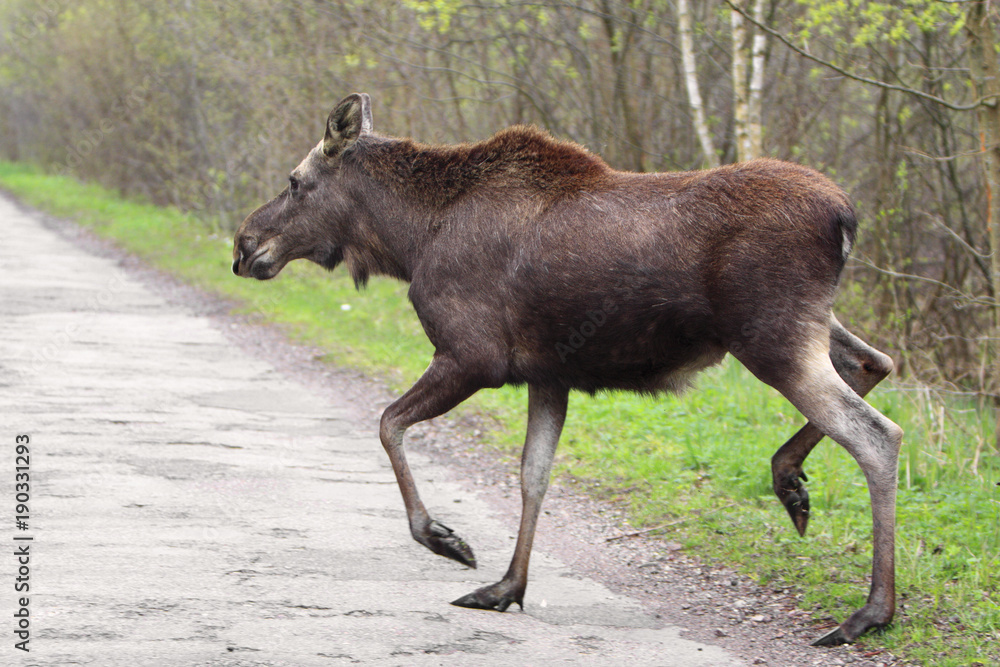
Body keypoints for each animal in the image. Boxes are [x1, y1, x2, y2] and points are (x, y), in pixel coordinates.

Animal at [232, 93, 901, 646]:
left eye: (296, 182)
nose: (242, 246)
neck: (408, 239)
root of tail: (845, 217)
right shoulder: (548, 375)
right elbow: (534, 475)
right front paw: (507, 588)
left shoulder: (472, 356)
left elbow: (387, 424)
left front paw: (446, 539)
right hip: (801, 329)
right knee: (875, 361)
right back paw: (790, 481)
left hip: (771, 338)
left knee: (877, 434)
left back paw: (870, 613)